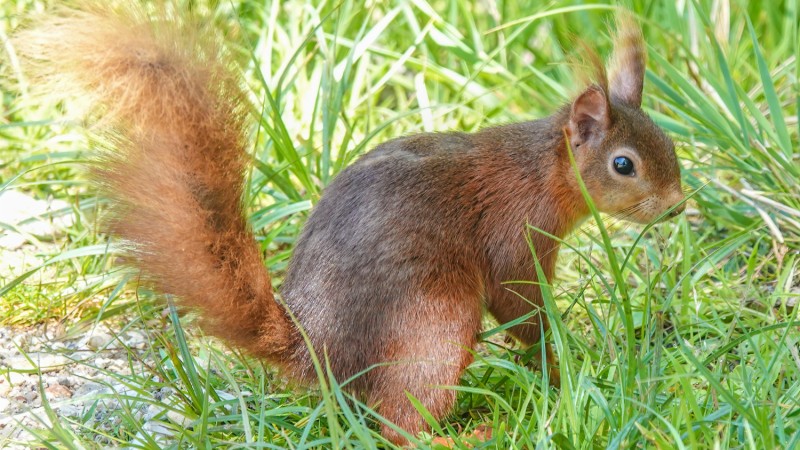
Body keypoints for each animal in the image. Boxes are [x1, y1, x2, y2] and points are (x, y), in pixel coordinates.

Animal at [16, 3, 684, 445]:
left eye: (670, 143)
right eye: (623, 164)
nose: (677, 206)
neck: (542, 170)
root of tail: (314, 352)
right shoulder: (515, 236)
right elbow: (521, 305)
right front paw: (566, 358)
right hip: (433, 327)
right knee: (398, 427)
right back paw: (467, 435)